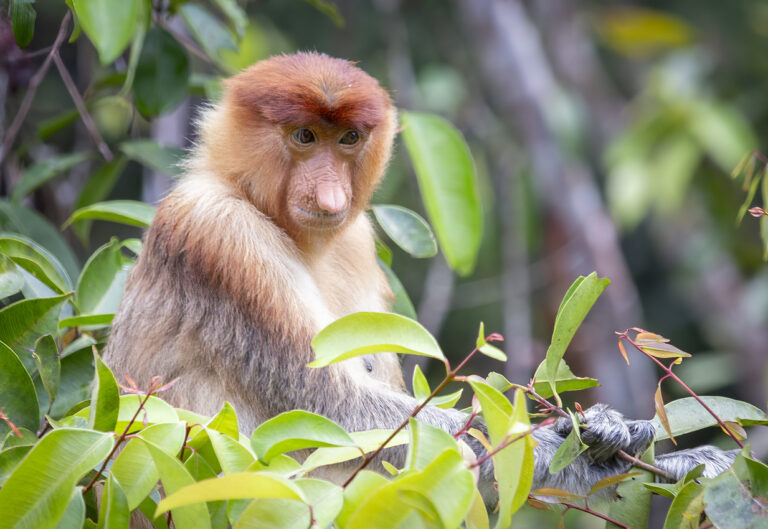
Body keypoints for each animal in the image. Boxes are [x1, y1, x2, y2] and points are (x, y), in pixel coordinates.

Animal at [103, 52, 737, 511]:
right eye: (304, 136)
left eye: (348, 139)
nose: (330, 196)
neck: (258, 203)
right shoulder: (222, 236)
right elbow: (334, 408)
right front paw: (585, 448)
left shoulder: (357, 240)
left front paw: (636, 438)